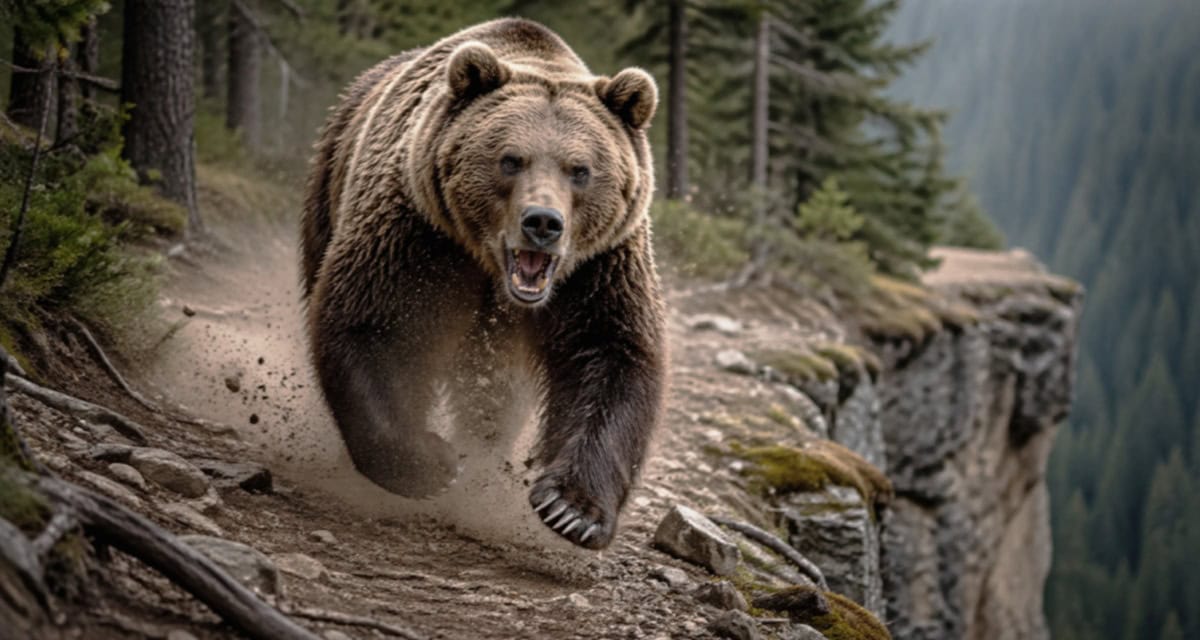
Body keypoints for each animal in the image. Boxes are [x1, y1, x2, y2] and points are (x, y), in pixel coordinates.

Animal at [300, 18, 666, 550]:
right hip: (329, 179)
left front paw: (571, 510)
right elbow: (375, 322)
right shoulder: (418, 231)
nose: (543, 222)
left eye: (580, 170)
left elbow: (615, 353)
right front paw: (428, 463)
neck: (491, 268)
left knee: (495, 388)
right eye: (510, 159)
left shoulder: (599, 268)